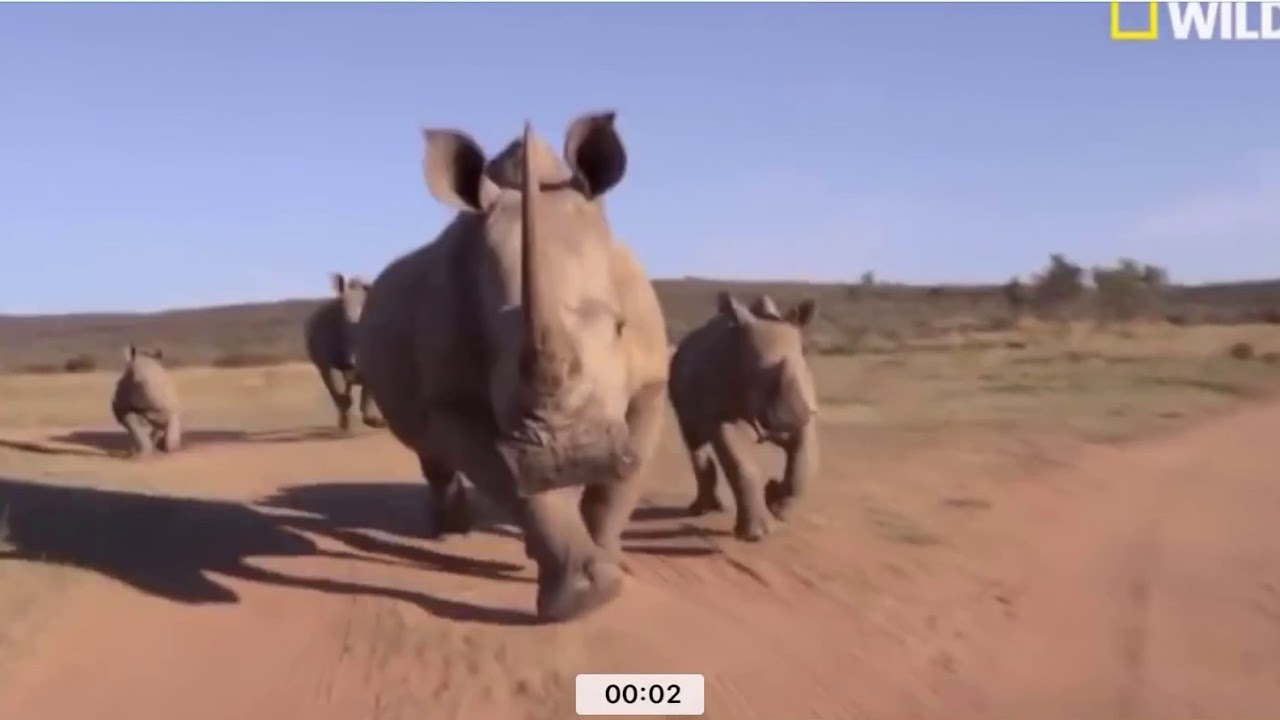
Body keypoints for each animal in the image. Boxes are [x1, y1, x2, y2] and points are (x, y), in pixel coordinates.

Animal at [304, 273, 384, 432]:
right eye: (342, 327)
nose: (352, 363)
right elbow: (336, 383)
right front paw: (350, 425)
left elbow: (368, 392)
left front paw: (373, 421)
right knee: (331, 381)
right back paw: (345, 423)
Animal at [358, 112, 670, 623]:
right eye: (488, 350)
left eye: (621, 327)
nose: (571, 457)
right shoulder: (452, 401)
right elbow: (514, 483)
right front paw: (586, 595)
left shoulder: (650, 382)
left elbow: (620, 482)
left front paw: (610, 564)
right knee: (429, 448)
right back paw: (451, 531)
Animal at [668, 292, 820, 541]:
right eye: (753, 376)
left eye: (803, 366)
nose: (785, 424)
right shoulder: (722, 417)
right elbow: (741, 463)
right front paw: (756, 535)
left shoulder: (807, 413)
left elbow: (803, 463)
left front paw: (776, 504)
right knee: (693, 440)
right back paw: (702, 510)